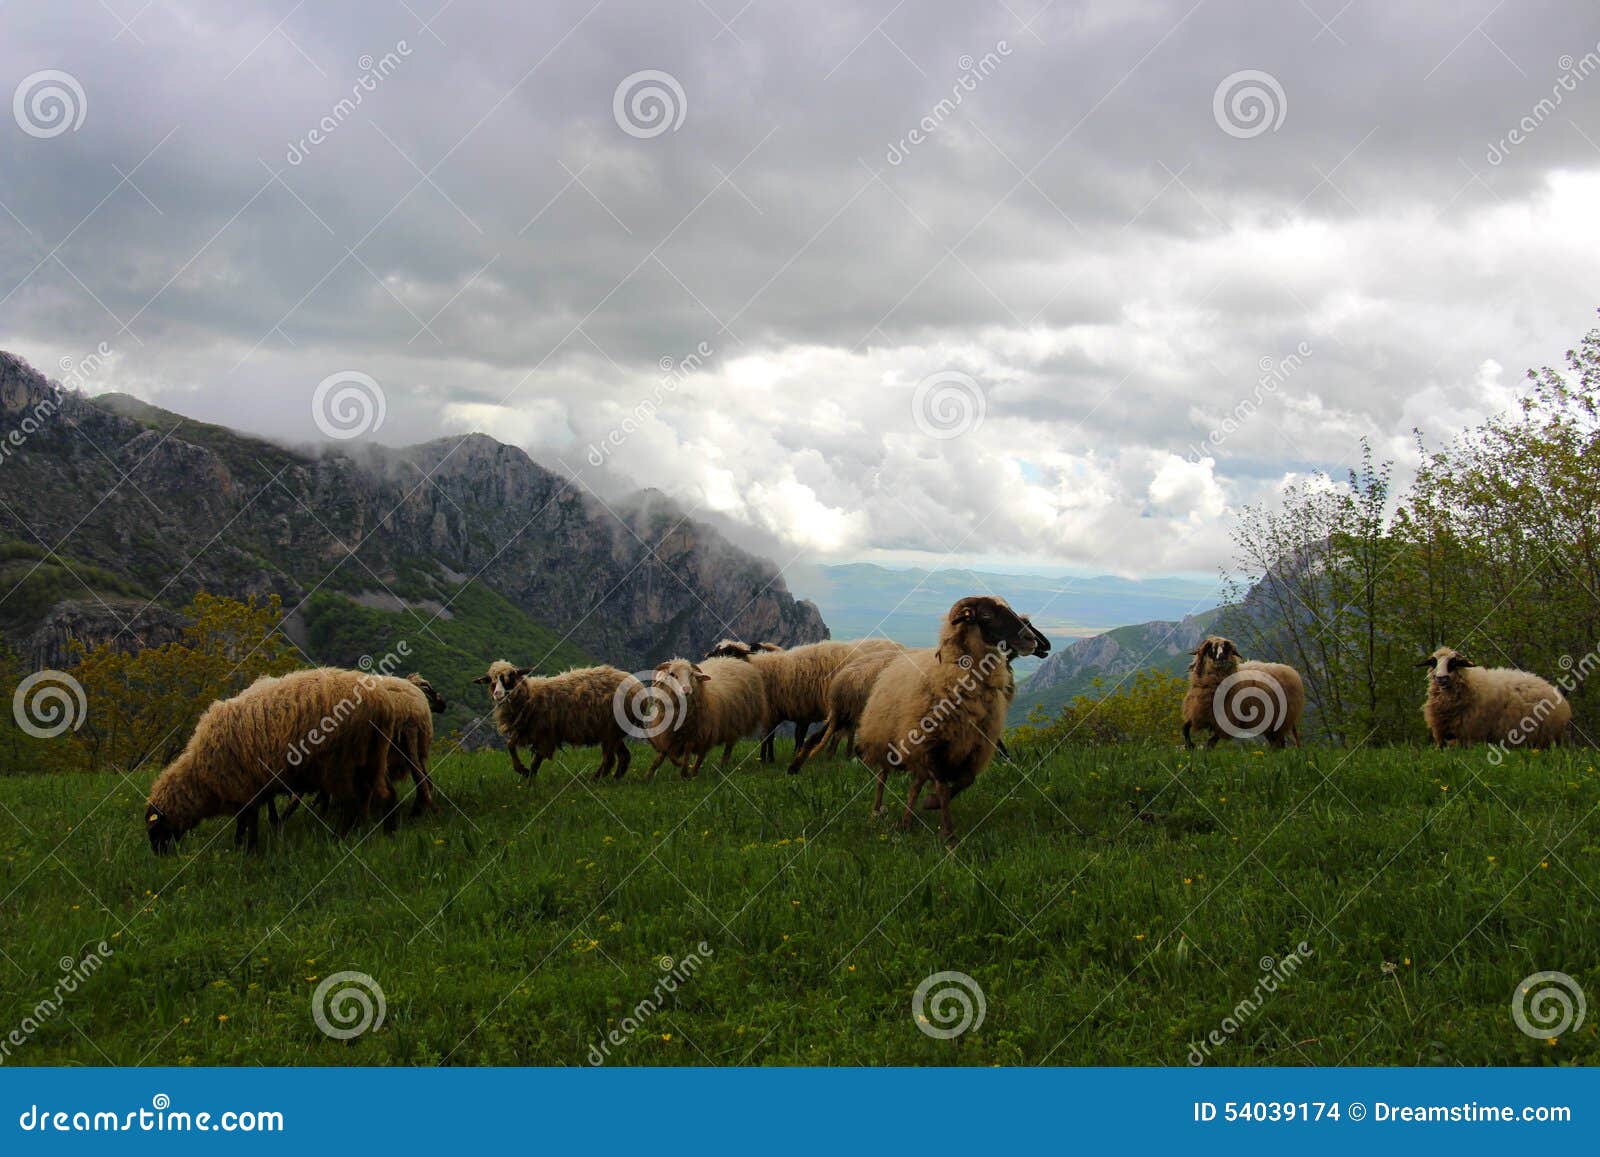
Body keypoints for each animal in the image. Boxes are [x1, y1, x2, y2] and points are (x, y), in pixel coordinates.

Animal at [145, 668, 404, 854]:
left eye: (155, 827)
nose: (159, 855)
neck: (200, 776)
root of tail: (382, 702)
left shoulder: (245, 784)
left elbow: (248, 820)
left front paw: (248, 851)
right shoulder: (252, 786)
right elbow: (246, 819)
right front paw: (242, 844)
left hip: (340, 763)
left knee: (352, 802)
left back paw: (338, 839)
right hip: (374, 756)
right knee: (384, 794)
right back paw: (385, 832)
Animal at [474, 661, 647, 779]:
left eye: (510, 677)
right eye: (491, 681)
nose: (497, 695)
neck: (531, 695)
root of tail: (637, 687)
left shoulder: (545, 734)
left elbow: (535, 761)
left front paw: (528, 777)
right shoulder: (525, 729)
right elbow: (510, 746)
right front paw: (524, 773)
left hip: (610, 729)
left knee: (609, 759)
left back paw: (594, 779)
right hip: (613, 731)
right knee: (624, 756)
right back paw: (614, 778)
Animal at [855, 596, 1048, 841]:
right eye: (986, 615)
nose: (1031, 639)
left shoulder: (974, 747)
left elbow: (965, 781)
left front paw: (931, 804)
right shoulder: (933, 745)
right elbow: (943, 786)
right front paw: (948, 834)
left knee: (915, 784)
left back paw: (907, 821)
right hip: (886, 739)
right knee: (882, 777)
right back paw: (877, 812)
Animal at [1418, 646, 1570, 751]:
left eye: (1453, 663)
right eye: (1433, 663)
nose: (1441, 678)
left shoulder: (1472, 735)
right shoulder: (1443, 735)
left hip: (1545, 738)